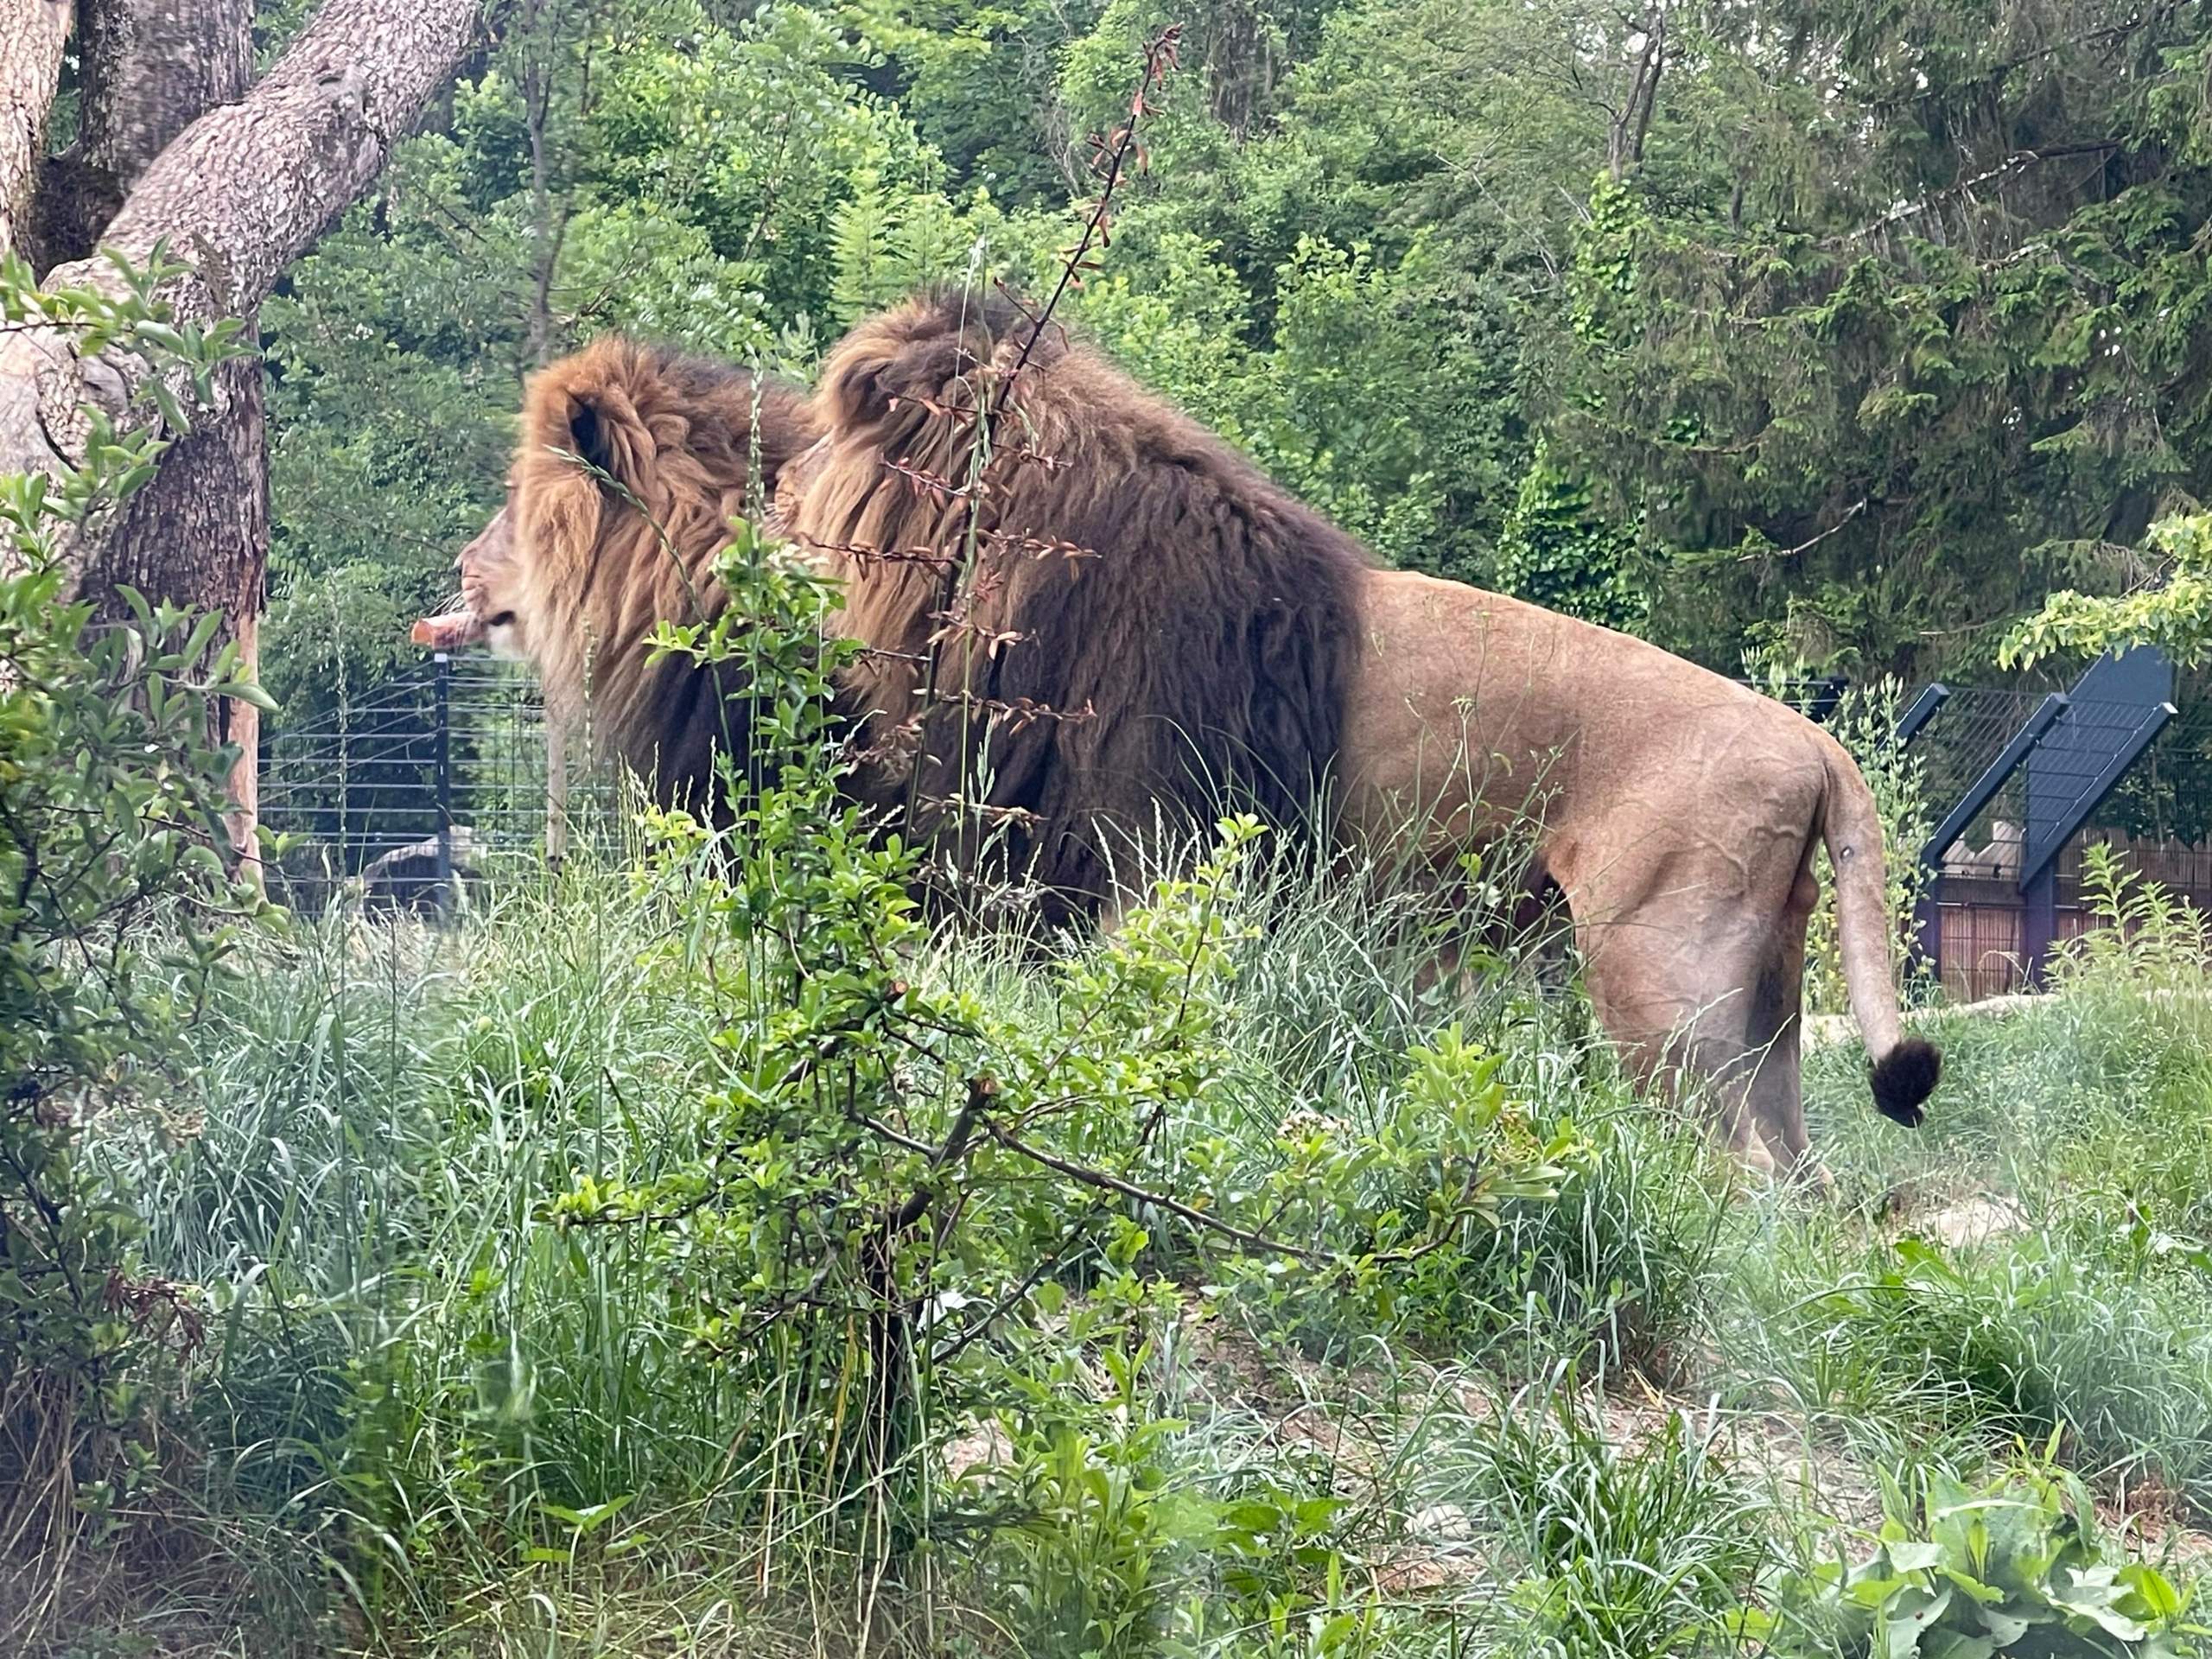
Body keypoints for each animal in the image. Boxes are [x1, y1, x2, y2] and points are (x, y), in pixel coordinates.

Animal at [425, 305, 1937, 1178]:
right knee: (1799, 1187)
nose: (454, 564)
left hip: (1657, 985)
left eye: (506, 506)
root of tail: (1820, 749)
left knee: (1743, 1175)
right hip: (1761, 1006)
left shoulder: (1128, 865)